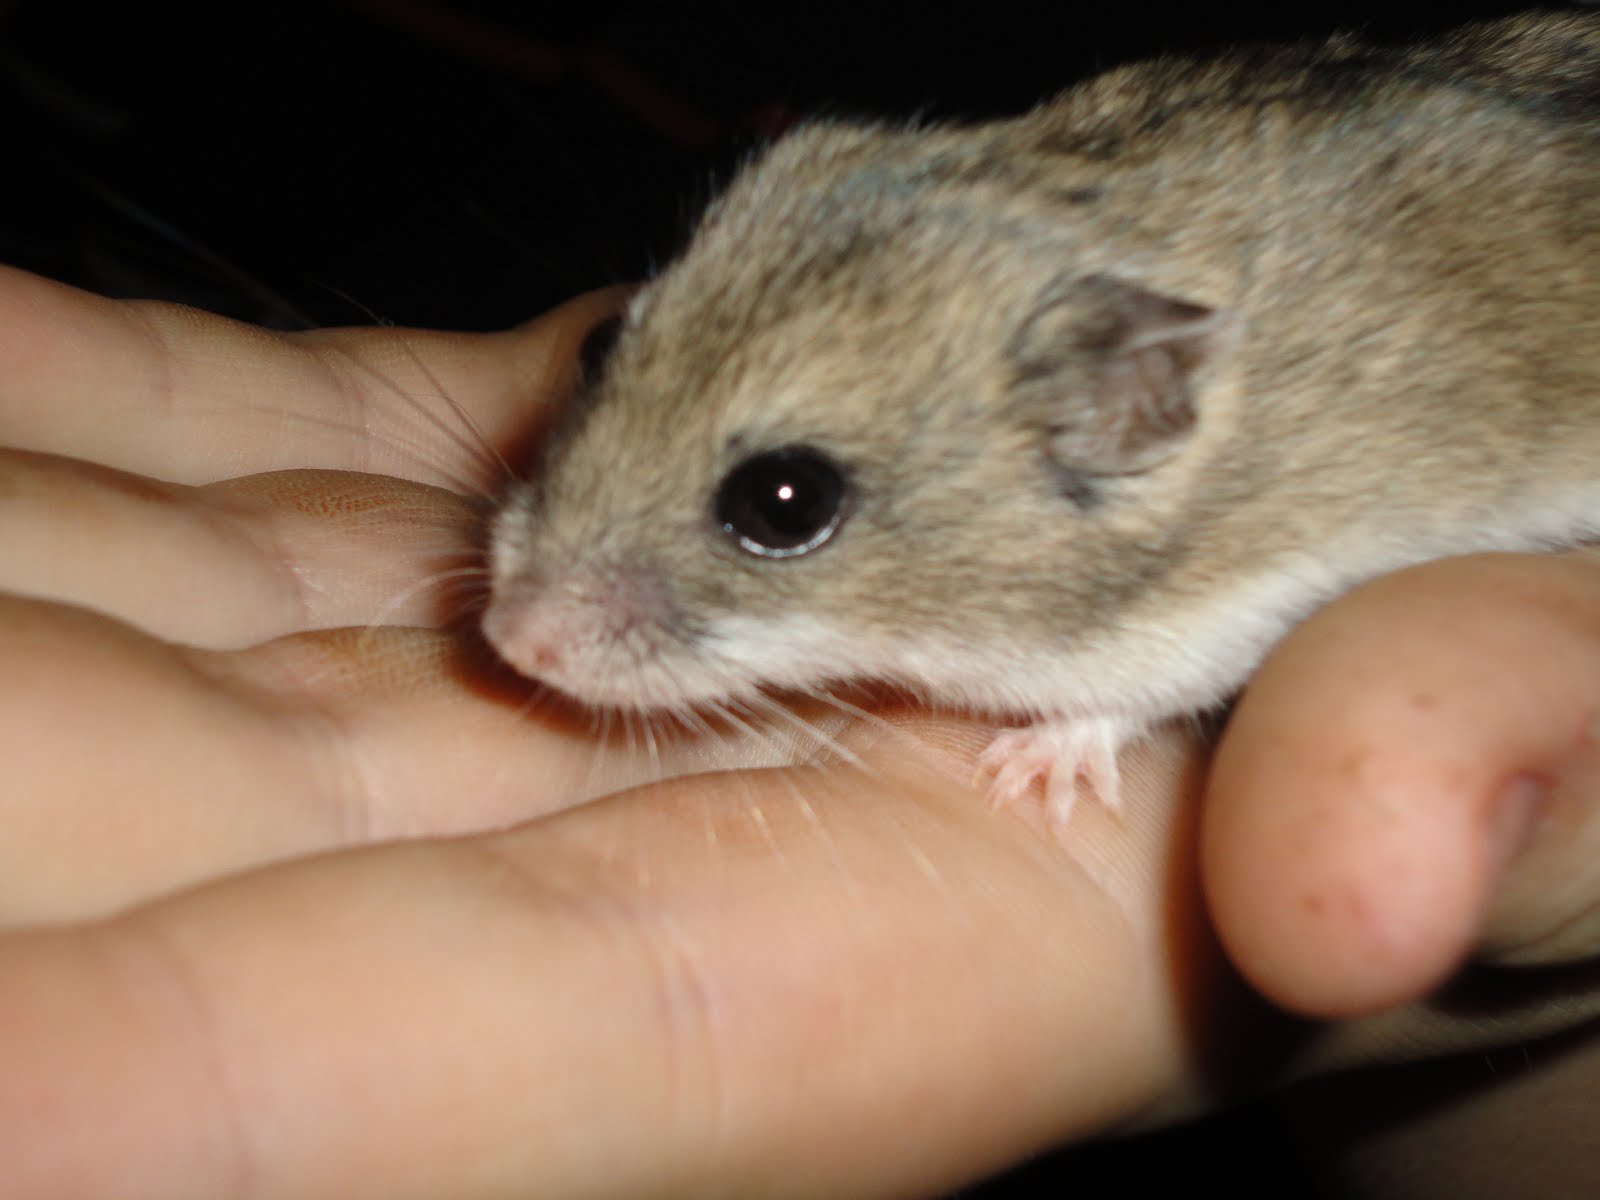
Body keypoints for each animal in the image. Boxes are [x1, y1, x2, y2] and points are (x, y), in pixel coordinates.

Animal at [482, 11, 1600, 831]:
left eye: (785, 502)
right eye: (596, 348)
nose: (507, 641)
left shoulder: (1223, 611)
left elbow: (1117, 702)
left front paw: (1024, 771)